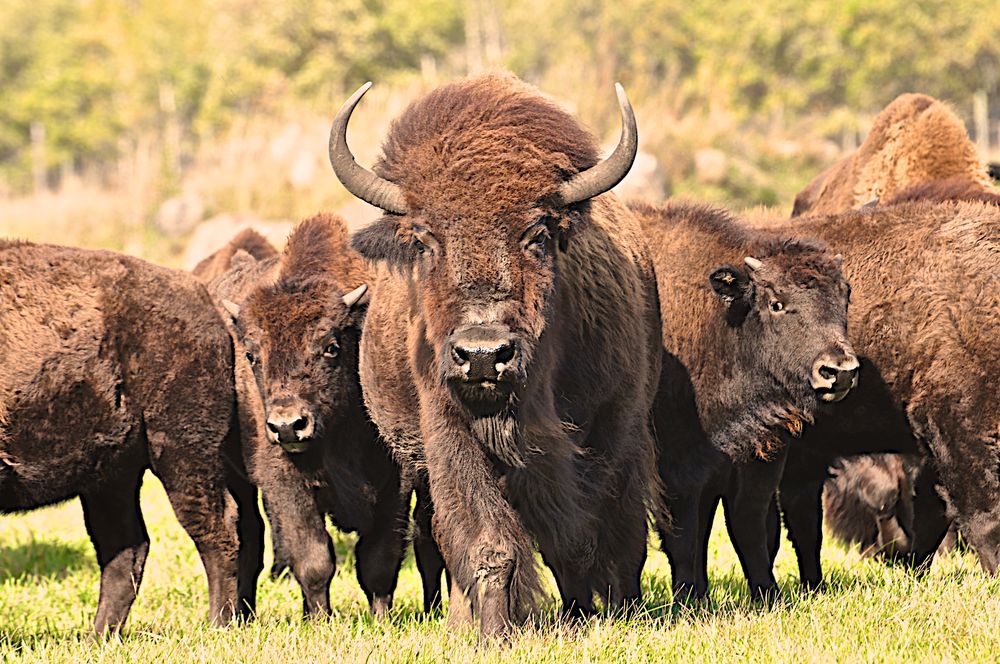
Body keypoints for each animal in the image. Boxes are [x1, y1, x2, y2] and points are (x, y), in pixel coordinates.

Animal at [0, 241, 262, 634]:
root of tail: (207, 301)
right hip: (110, 475)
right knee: (126, 548)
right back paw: (98, 637)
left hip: (181, 450)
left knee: (216, 527)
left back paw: (218, 624)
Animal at [329, 74, 662, 636]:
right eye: (424, 239)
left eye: (538, 233)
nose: (483, 355)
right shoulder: (450, 434)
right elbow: (488, 542)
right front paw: (492, 635)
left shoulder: (611, 429)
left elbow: (589, 536)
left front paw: (593, 615)